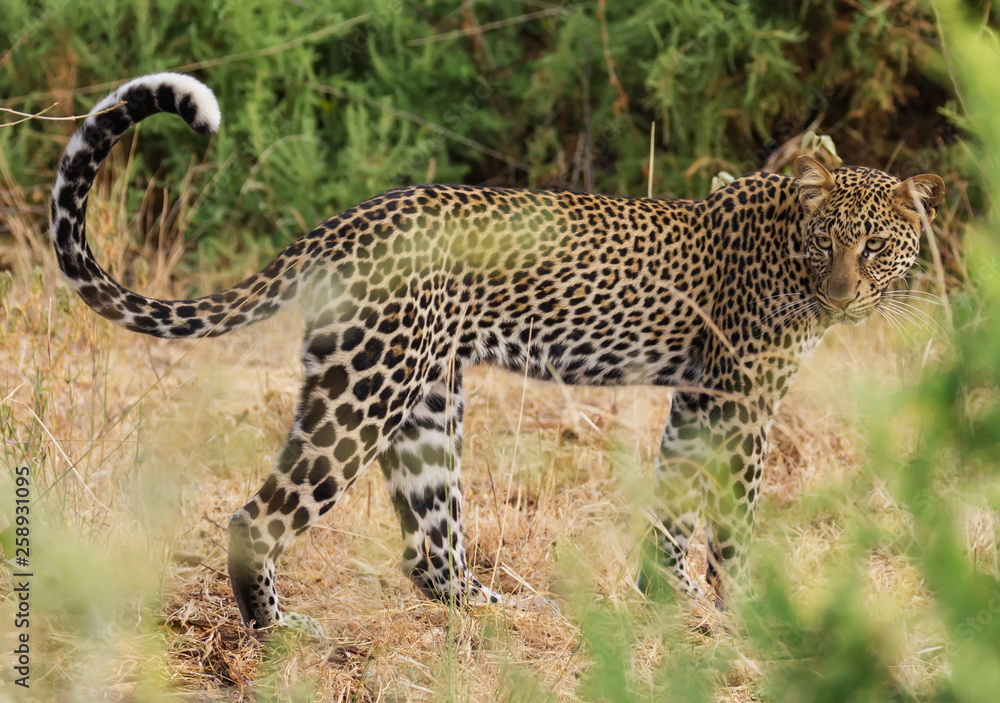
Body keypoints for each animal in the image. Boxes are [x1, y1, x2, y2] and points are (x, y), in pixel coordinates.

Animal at [49, 73, 944, 637]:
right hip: (367, 389)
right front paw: (743, 606)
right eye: (832, 242)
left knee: (427, 547)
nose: (844, 296)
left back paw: (505, 609)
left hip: (424, 400)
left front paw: (672, 596)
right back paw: (278, 631)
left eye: (876, 247)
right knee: (257, 516)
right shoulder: (742, 396)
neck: (789, 250)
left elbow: (674, 502)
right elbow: (733, 513)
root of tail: (342, 222)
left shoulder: (700, 396)